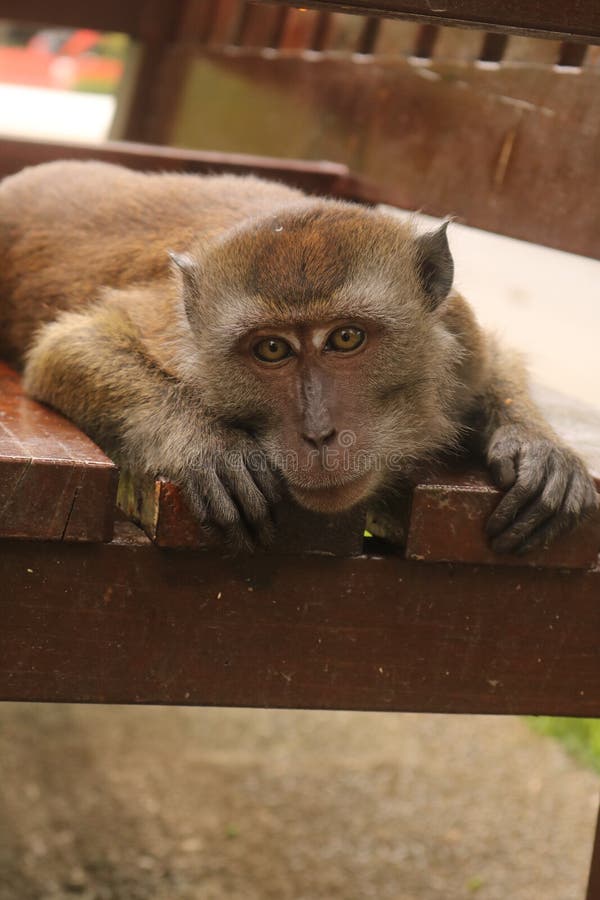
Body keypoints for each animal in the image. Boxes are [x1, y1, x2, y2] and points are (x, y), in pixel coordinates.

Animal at [0, 160, 596, 553]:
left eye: (346, 339)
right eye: (272, 349)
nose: (318, 434)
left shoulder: (461, 335)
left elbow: (493, 357)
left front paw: (538, 446)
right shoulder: (167, 327)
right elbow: (67, 348)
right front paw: (207, 445)